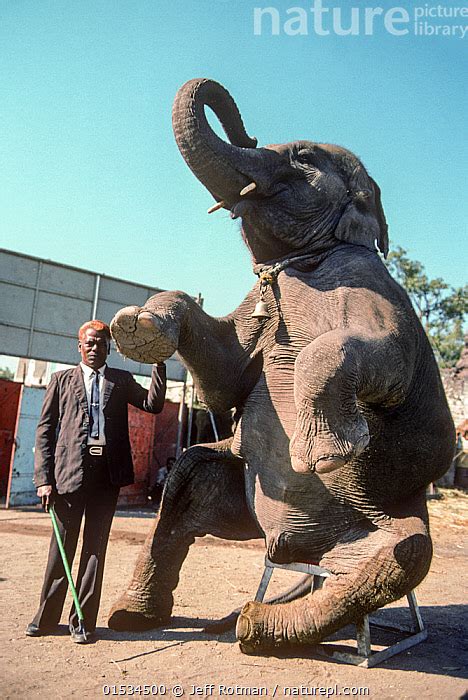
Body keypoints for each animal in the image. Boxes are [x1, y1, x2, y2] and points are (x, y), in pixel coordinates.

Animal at [107, 78, 455, 654]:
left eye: (304, 157)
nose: (247, 131)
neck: (305, 259)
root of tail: (305, 553)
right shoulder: (259, 304)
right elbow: (225, 377)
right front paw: (136, 327)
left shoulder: (377, 292)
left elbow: (376, 356)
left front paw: (326, 455)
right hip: (238, 496)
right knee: (186, 480)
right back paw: (135, 616)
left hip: (389, 517)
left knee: (403, 556)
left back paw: (258, 627)